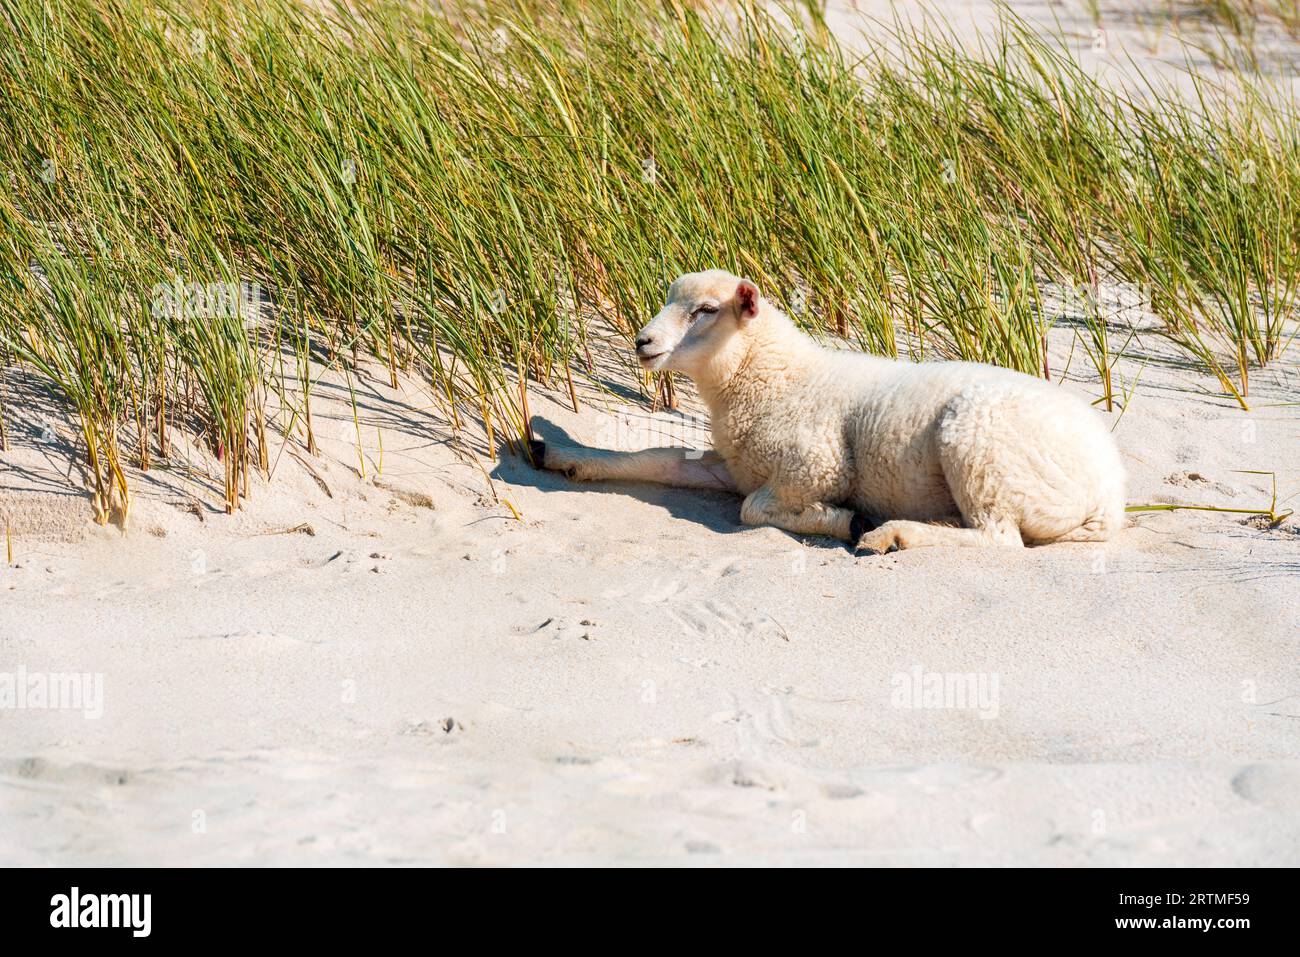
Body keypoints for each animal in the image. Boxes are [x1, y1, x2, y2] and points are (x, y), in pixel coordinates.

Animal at [530, 269, 1126, 553]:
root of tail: (1111, 496)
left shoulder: (815, 465)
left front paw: (841, 519)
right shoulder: (734, 465)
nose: (643, 342)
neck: (771, 376)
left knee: (998, 537)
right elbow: (659, 458)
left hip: (980, 447)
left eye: (705, 310)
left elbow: (752, 509)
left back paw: (893, 534)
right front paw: (563, 454)